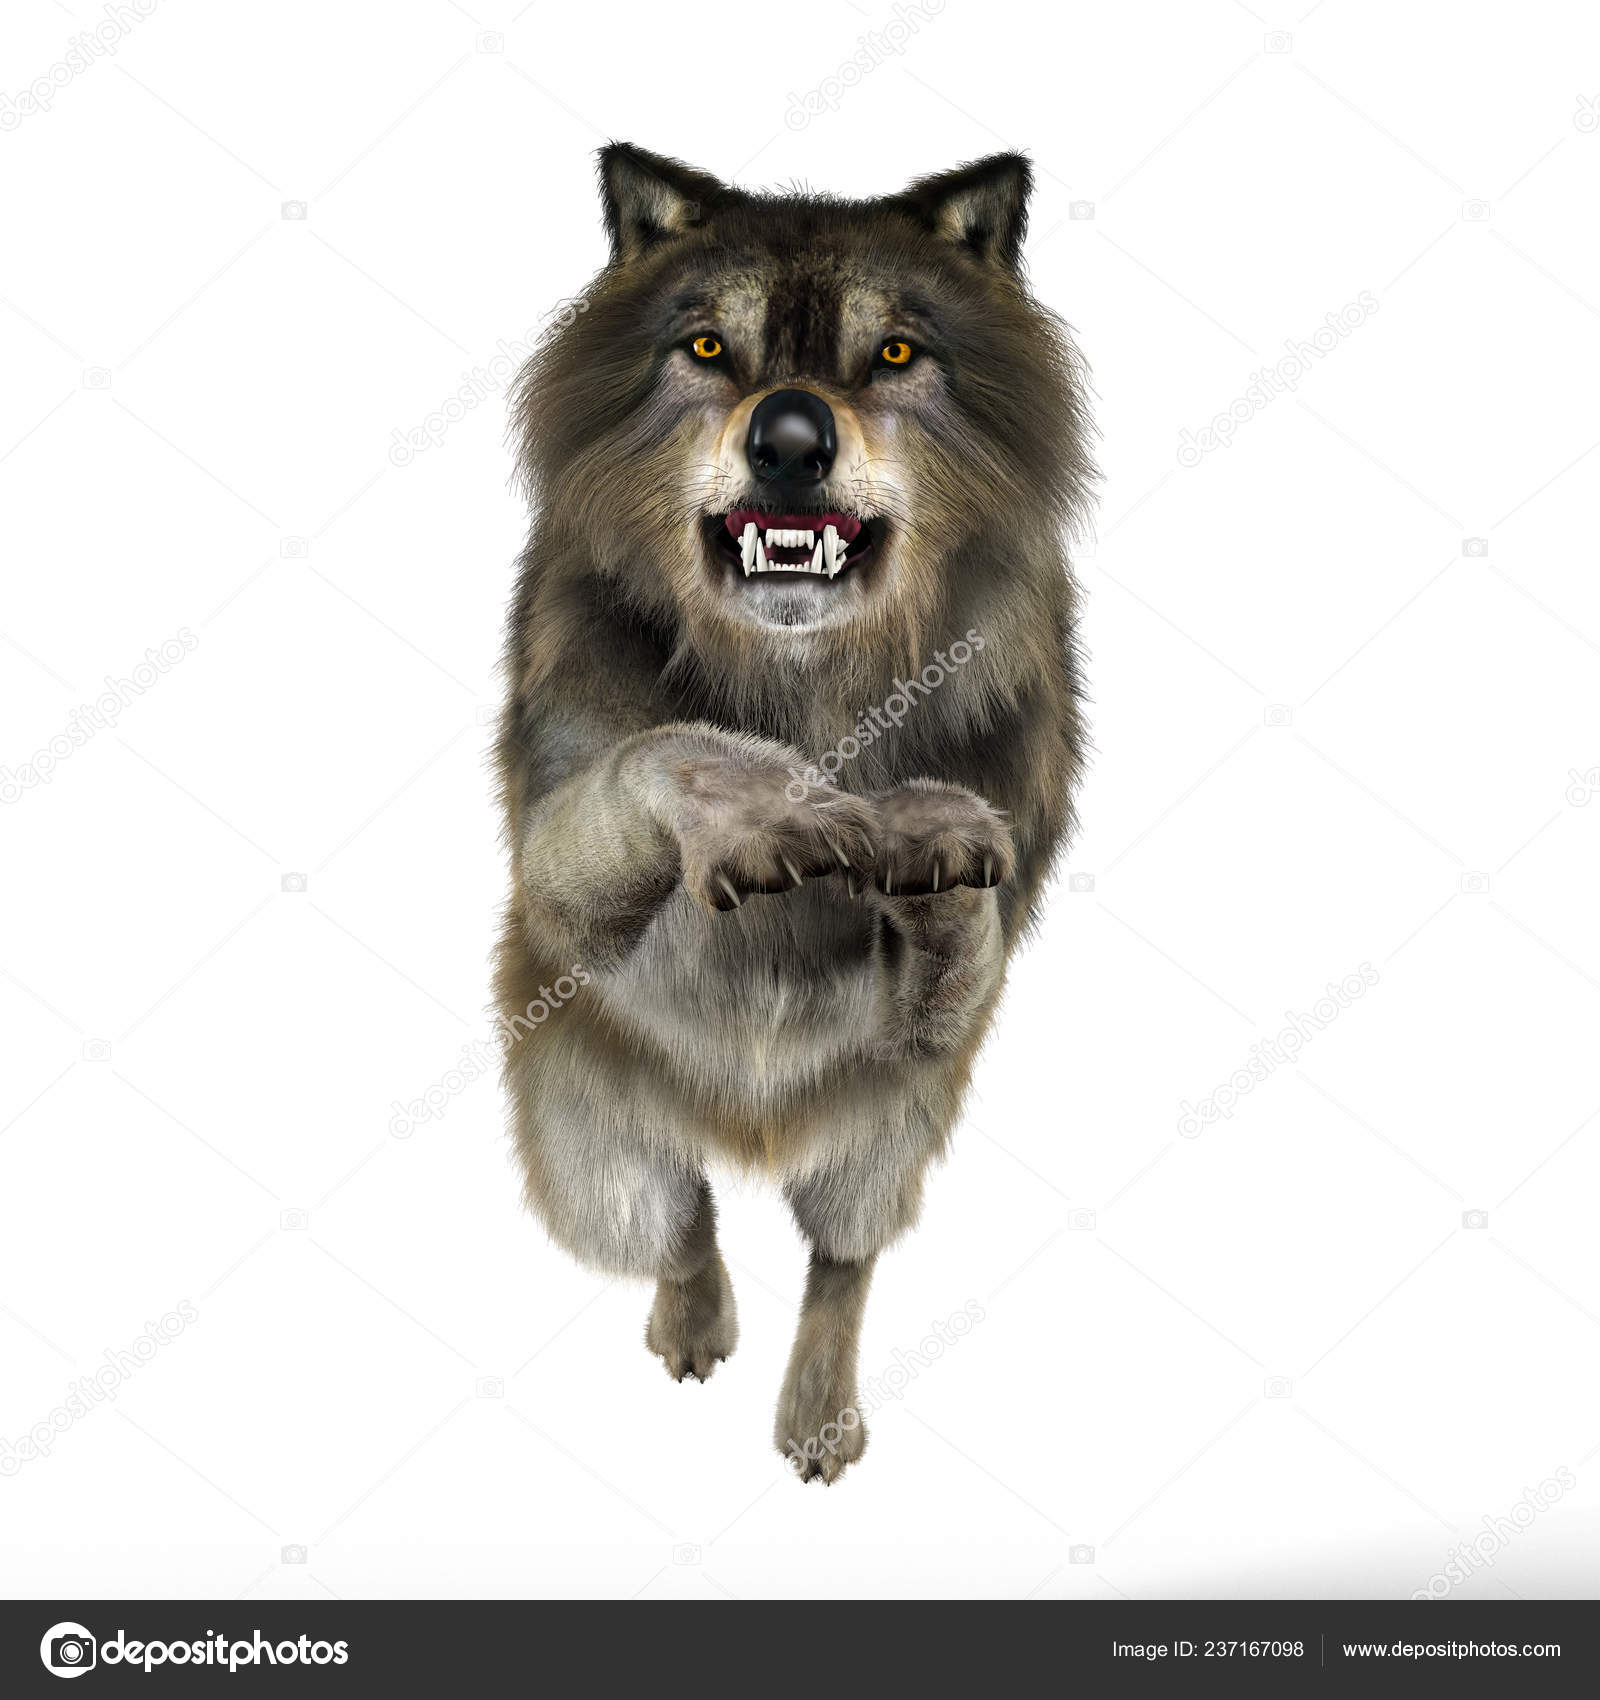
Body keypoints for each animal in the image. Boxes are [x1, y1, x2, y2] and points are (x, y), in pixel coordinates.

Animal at [495, 143, 1094, 1481]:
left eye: (894, 353)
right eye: (710, 348)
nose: (788, 439)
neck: (809, 692)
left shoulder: (926, 1036)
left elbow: (954, 935)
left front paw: (924, 836)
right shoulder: (563, 895)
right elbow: (662, 753)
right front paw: (764, 803)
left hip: (883, 1143)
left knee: (839, 1256)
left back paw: (815, 1410)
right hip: (591, 1165)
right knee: (678, 1221)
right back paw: (694, 1319)